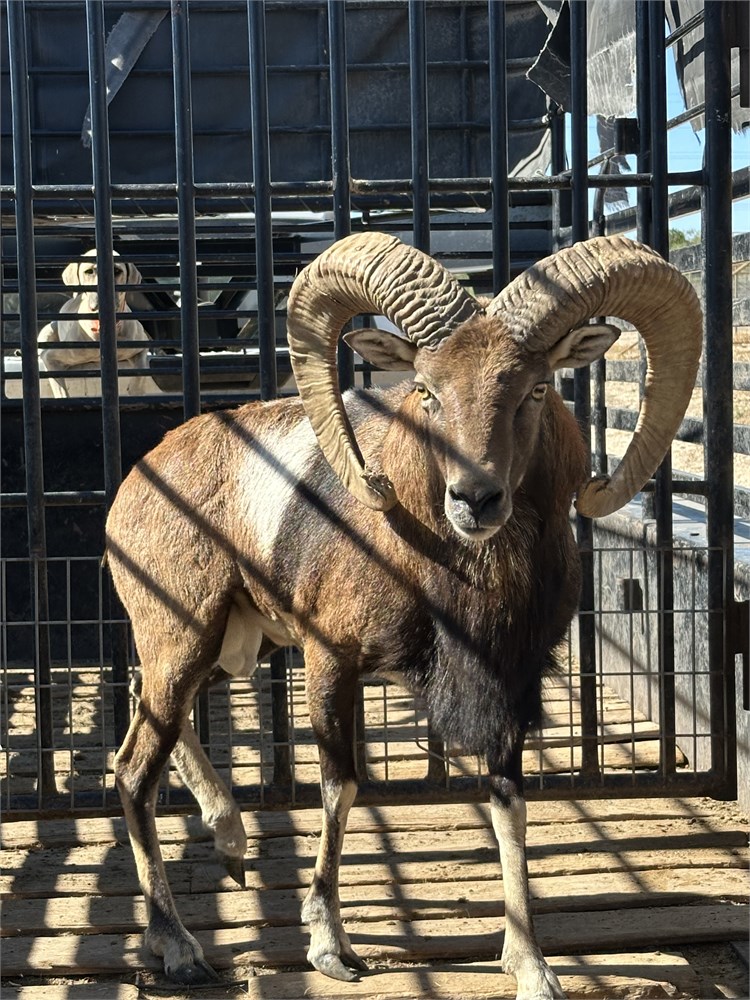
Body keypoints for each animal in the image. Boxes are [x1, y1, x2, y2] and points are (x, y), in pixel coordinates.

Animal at [38, 249, 160, 397]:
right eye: (89, 271)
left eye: (117, 271)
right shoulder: (50, 357)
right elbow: (61, 391)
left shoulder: (141, 347)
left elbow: (140, 373)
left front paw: (135, 391)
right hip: (48, 332)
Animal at [105, 232, 702, 999]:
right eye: (427, 390)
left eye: (535, 388)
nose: (475, 499)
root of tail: (138, 479)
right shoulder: (330, 663)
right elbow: (339, 788)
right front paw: (330, 948)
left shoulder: (508, 685)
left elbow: (509, 804)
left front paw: (532, 967)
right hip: (182, 644)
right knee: (132, 773)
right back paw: (177, 946)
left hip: (224, 650)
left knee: (145, 715)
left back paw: (231, 839)